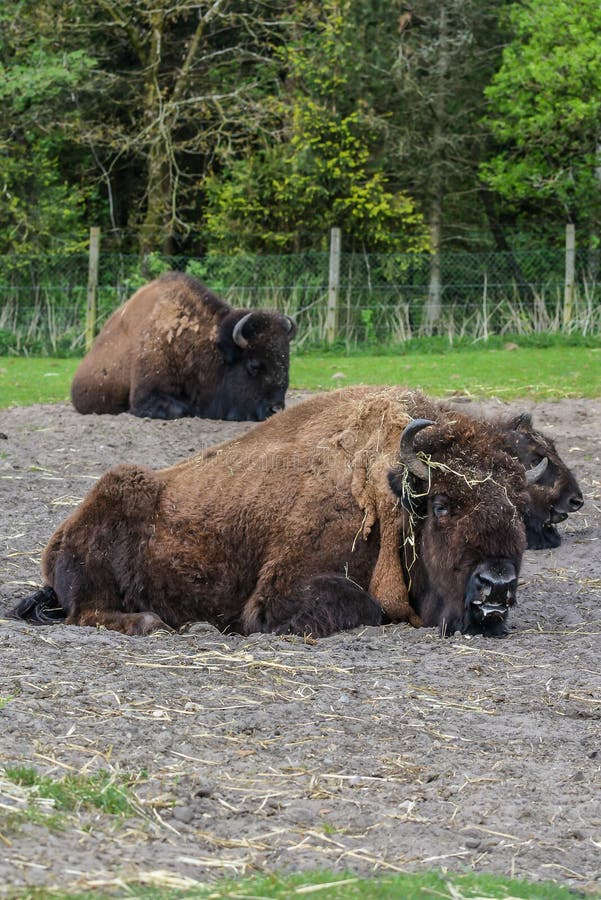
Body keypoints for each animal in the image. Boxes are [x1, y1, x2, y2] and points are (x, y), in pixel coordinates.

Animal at [12, 387, 547, 639]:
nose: (497, 586)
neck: (390, 495)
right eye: (441, 505)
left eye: (519, 509)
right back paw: (159, 623)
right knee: (86, 612)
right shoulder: (281, 590)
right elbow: (366, 607)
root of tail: (62, 533)